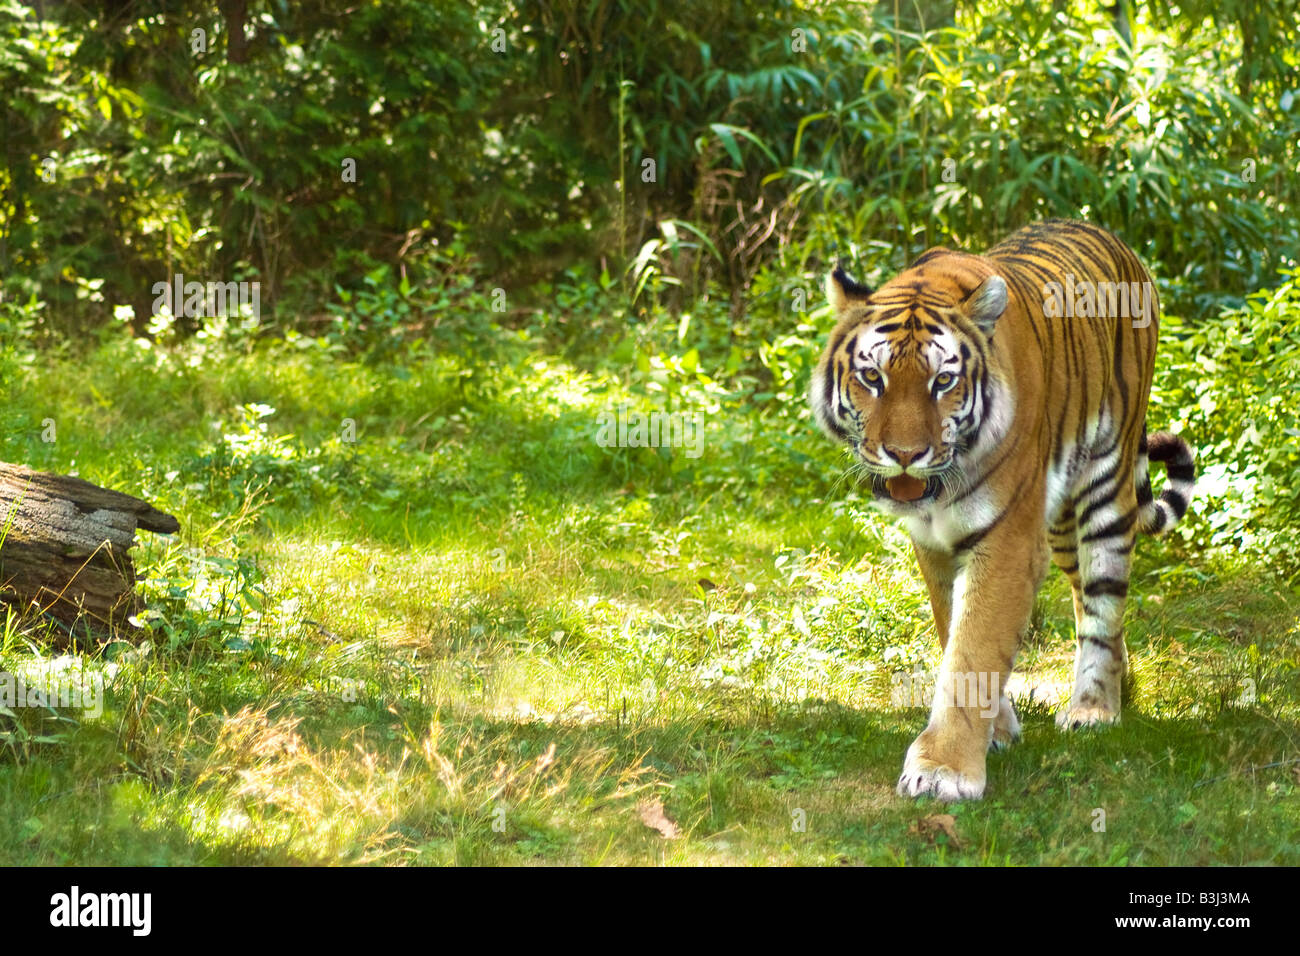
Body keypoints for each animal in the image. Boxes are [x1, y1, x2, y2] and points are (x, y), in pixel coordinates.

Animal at [809, 219, 1195, 801]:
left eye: (943, 381)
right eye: (872, 378)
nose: (904, 454)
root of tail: (1114, 239)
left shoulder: (1007, 539)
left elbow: (976, 646)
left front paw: (944, 769)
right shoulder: (935, 545)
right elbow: (955, 631)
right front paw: (998, 730)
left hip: (1105, 486)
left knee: (1104, 601)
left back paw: (1094, 708)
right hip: (1057, 524)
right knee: (1083, 596)